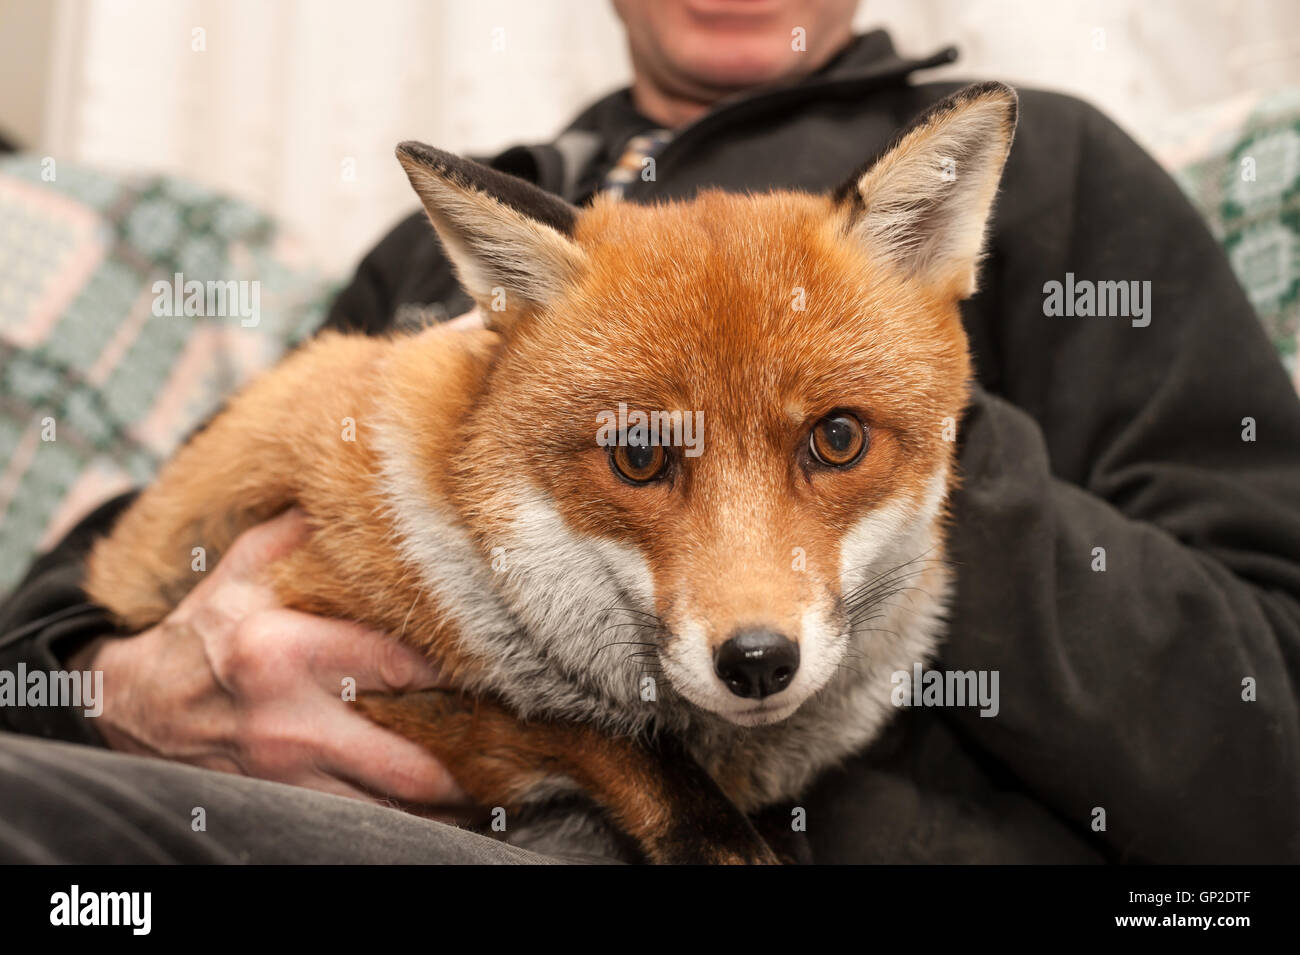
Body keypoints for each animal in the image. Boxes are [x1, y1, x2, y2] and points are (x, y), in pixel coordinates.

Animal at [85, 82, 1018, 864]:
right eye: (637, 454)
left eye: (838, 439)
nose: (757, 662)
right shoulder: (361, 657)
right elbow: (587, 728)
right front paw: (717, 830)